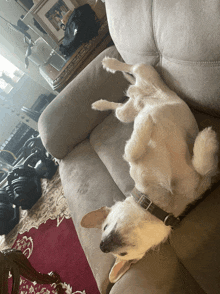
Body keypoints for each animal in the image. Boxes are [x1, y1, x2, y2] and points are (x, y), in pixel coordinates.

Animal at [81, 56, 218, 282]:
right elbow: (202, 166)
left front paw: (204, 137)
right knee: (118, 107)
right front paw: (206, 140)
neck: (160, 199)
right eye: (123, 254)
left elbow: (131, 151)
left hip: (146, 74)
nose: (102, 246)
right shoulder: (207, 179)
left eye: (105, 226)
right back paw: (102, 102)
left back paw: (111, 64)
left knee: (132, 68)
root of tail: (137, 92)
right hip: (126, 113)